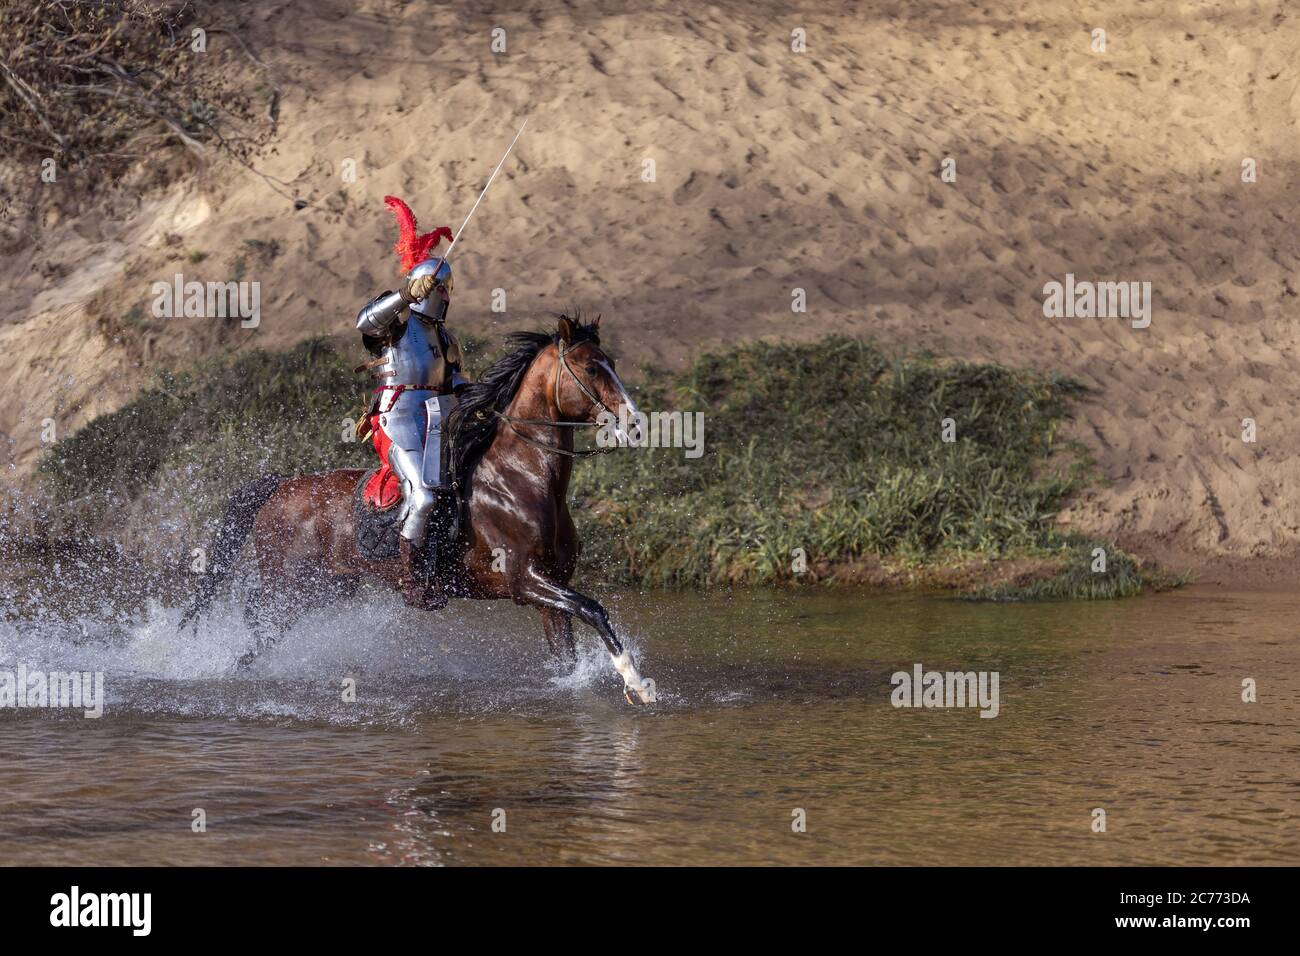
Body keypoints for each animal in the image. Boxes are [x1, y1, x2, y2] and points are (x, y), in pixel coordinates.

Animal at [180, 313, 657, 704]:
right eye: (591, 367)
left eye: (611, 362)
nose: (635, 423)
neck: (522, 478)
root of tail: (281, 486)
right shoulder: (525, 581)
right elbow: (595, 609)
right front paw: (636, 681)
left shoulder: (549, 593)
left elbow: (568, 653)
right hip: (289, 587)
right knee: (255, 620)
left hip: (325, 589)